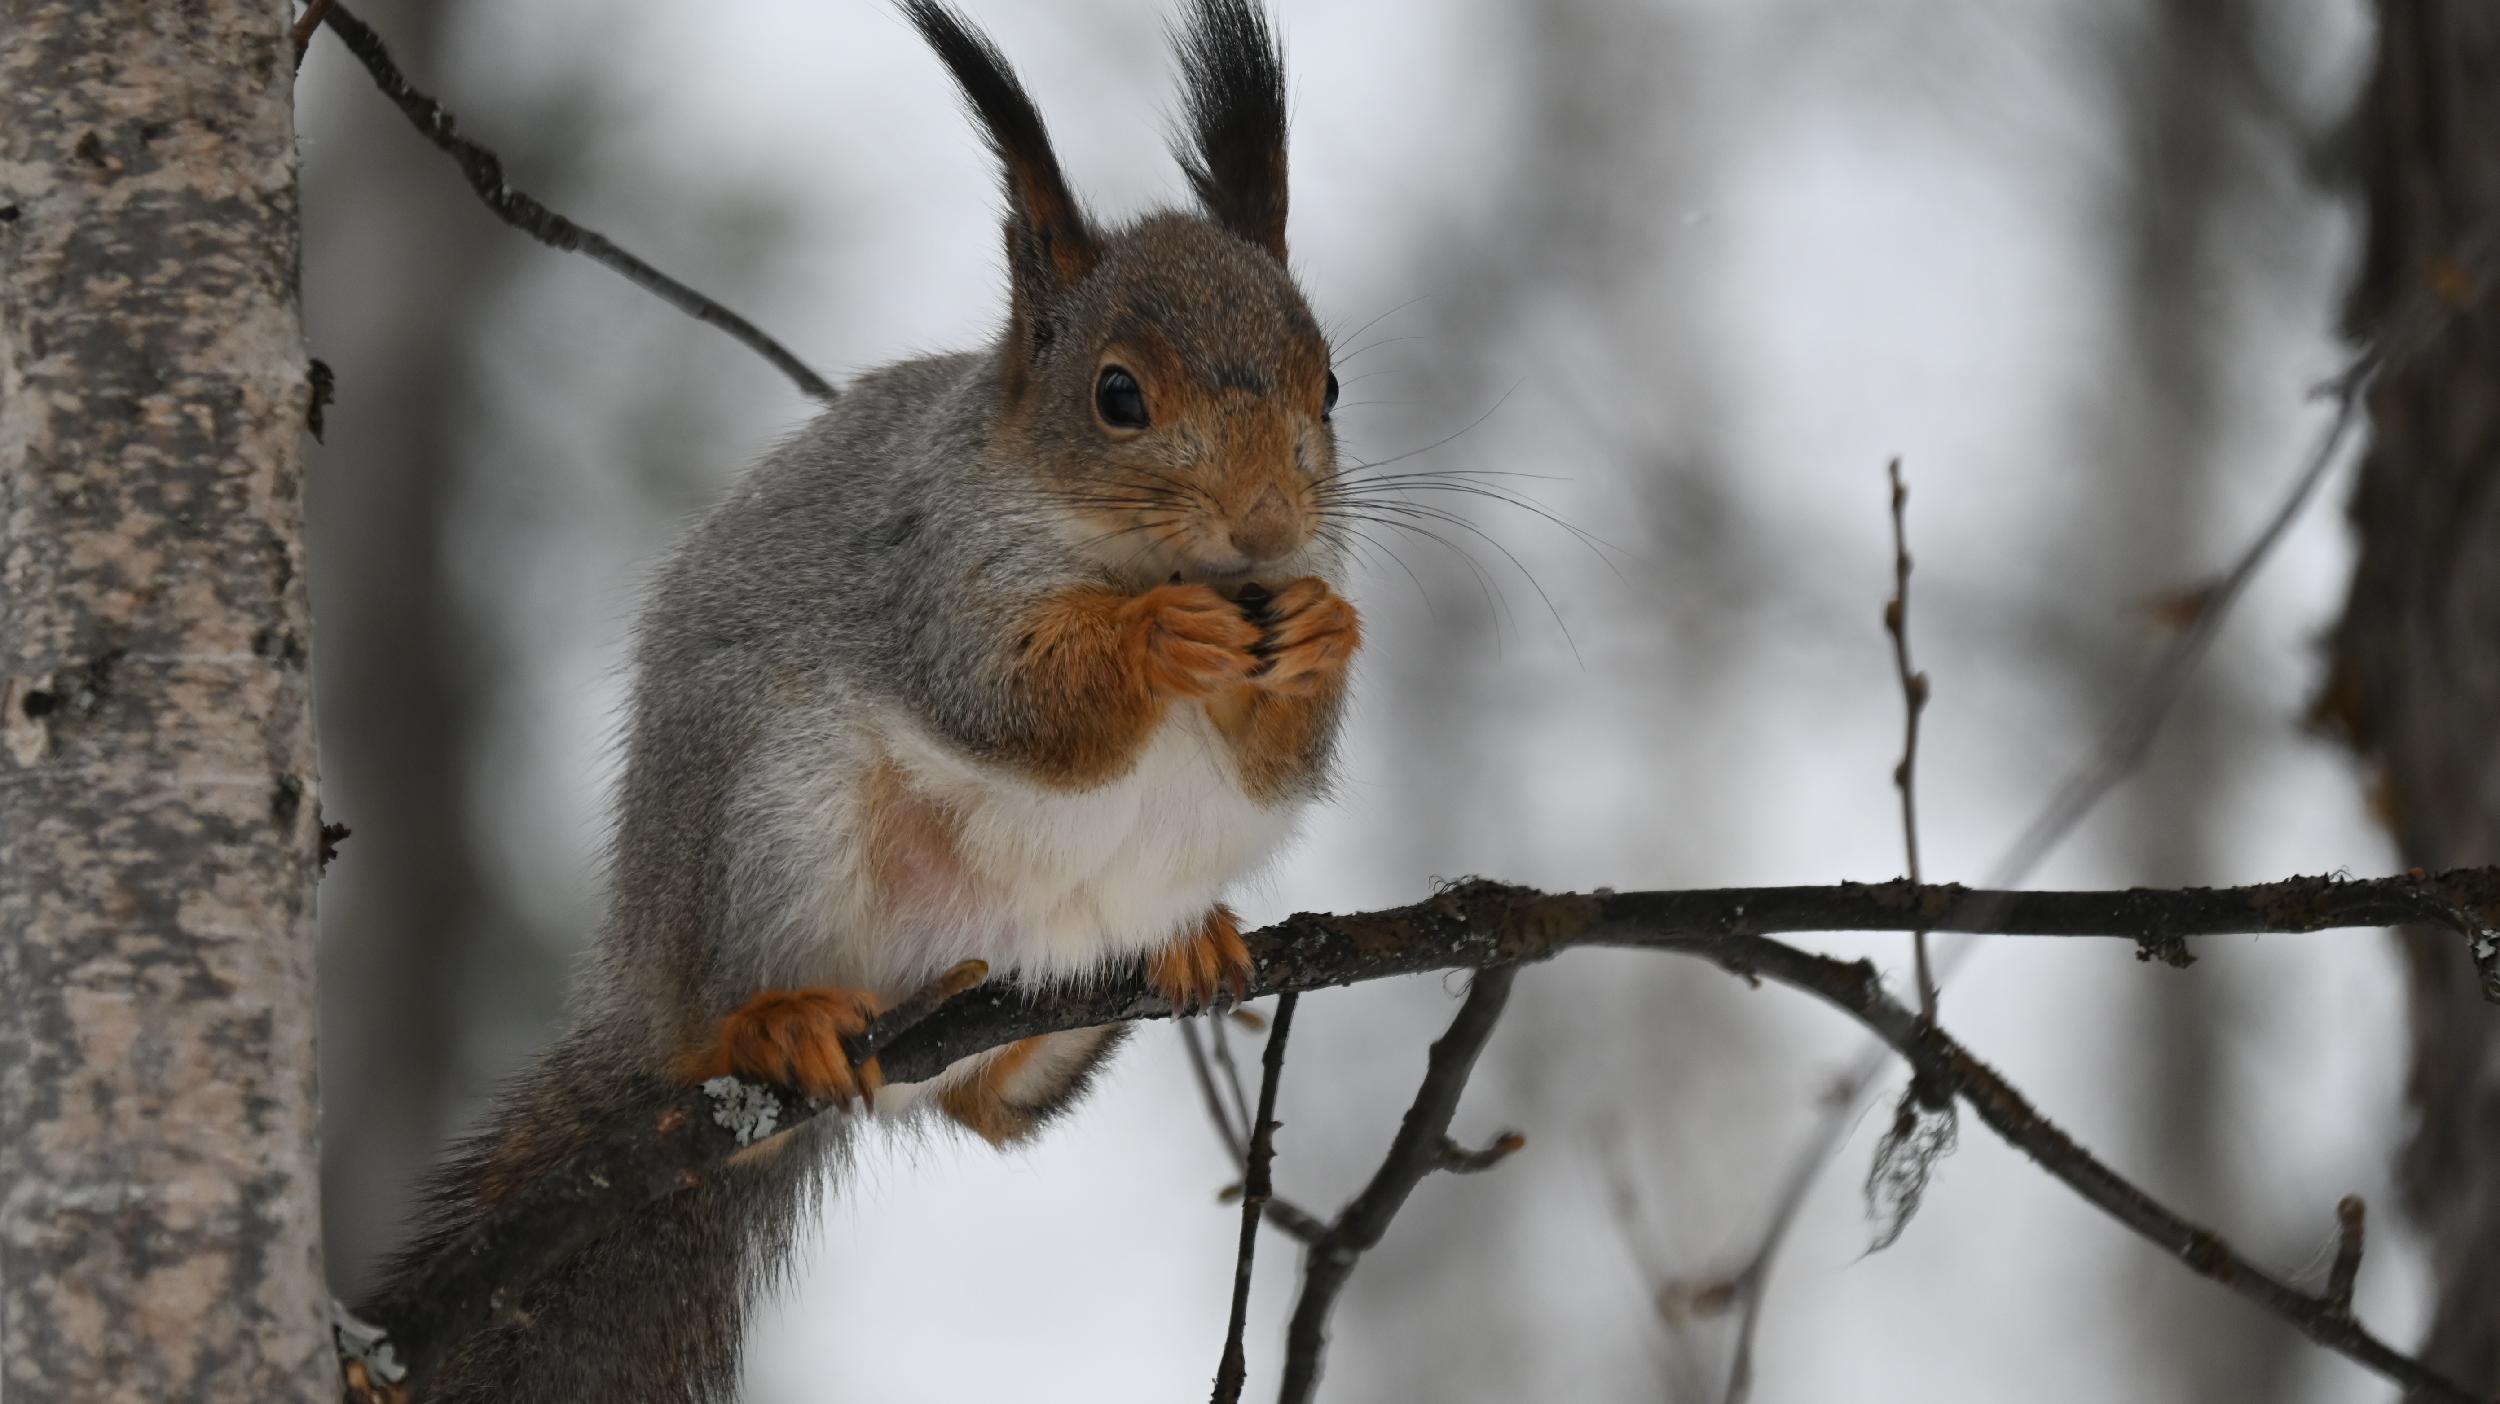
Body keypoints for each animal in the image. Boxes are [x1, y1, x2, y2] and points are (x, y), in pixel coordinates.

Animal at [357, 2, 1350, 1399]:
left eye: (1330, 388)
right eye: (1117, 396)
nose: (1267, 527)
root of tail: (645, 999)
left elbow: (1283, 759)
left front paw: (1323, 634)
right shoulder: (925, 574)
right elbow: (1010, 705)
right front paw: (1159, 638)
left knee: (985, 1112)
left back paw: (1174, 951)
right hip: (774, 822)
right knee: (757, 1032)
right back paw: (770, 1026)